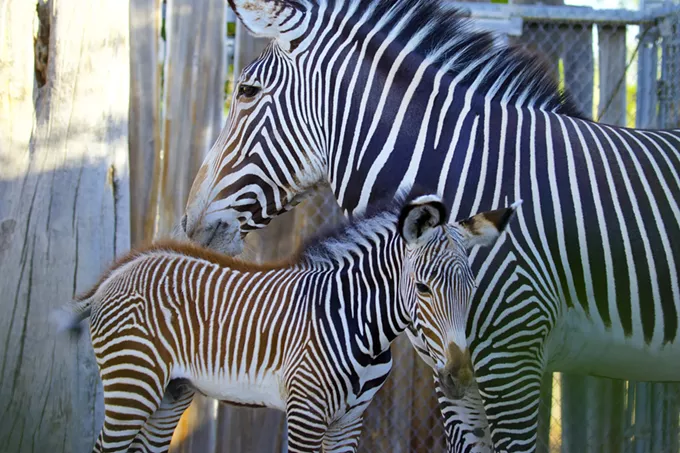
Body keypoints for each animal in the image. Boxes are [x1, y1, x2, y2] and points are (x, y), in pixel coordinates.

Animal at [54, 195, 519, 453]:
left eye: (471, 288)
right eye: (422, 288)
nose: (461, 377)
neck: (358, 322)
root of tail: (118, 272)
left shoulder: (349, 423)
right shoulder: (306, 413)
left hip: (171, 392)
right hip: (131, 386)